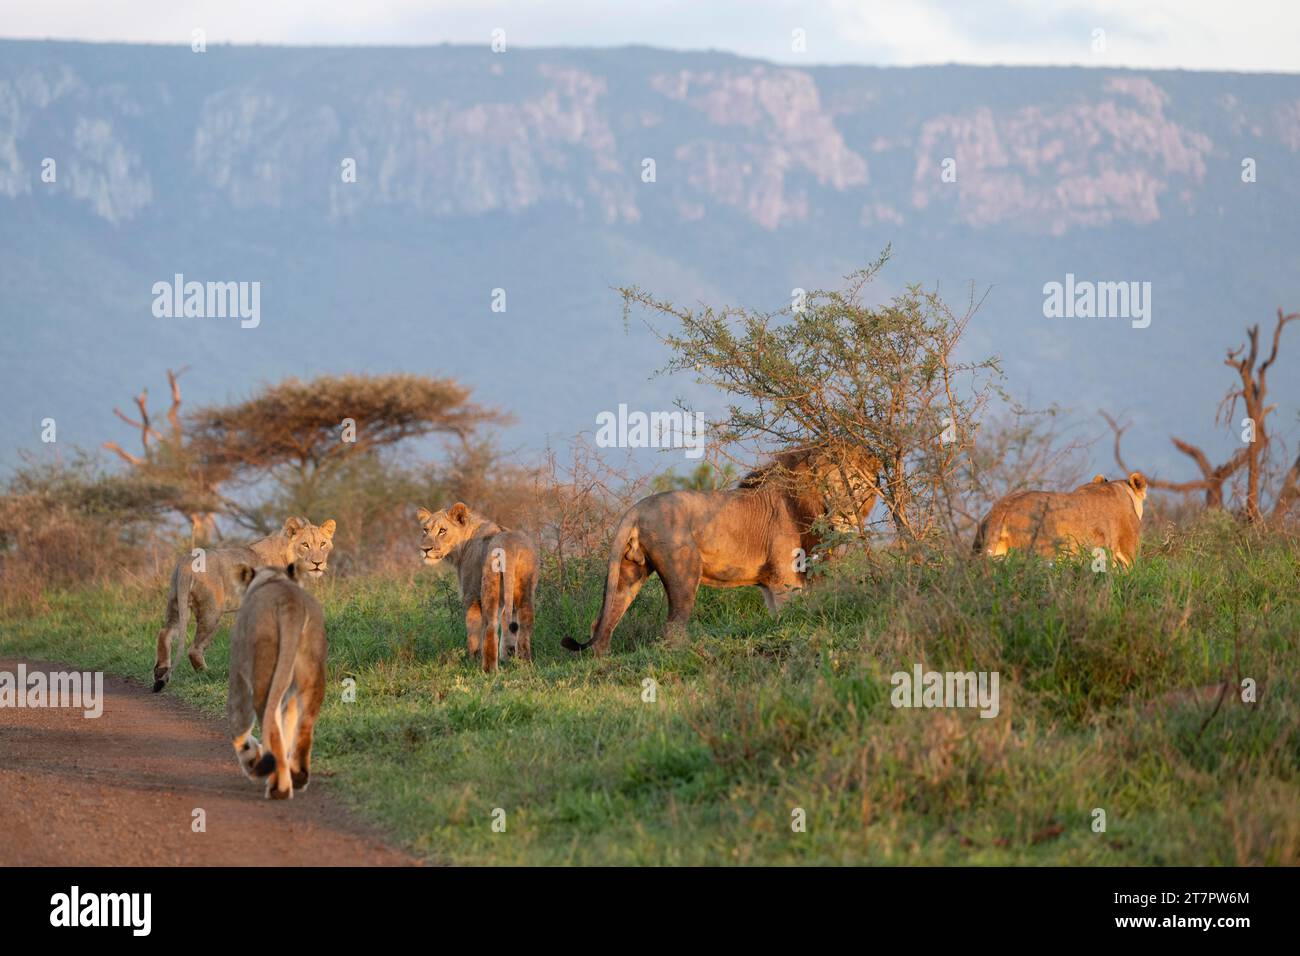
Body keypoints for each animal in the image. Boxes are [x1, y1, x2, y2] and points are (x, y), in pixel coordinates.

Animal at [152, 516, 336, 692]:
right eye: (305, 545)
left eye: (323, 544)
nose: (318, 563)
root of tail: (186, 562)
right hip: (212, 611)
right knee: (194, 649)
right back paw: (208, 675)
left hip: (176, 603)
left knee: (165, 633)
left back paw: (160, 672)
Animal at [226, 562, 327, 800]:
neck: (272, 577)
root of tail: (289, 602)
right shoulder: (289, 698)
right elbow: (287, 728)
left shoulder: (238, 678)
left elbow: (238, 728)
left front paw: (252, 759)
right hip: (311, 671)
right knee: (305, 723)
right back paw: (298, 776)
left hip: (263, 671)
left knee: (271, 727)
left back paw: (278, 787)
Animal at [417, 503, 539, 672]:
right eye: (425, 530)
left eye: (442, 530)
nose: (425, 550)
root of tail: (509, 544)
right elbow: (507, 629)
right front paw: (507, 658)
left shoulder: (471, 594)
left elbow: (474, 631)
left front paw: (473, 660)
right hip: (524, 588)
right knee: (524, 625)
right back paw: (525, 665)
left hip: (489, 586)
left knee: (490, 628)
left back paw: (489, 670)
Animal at [561, 445, 881, 656]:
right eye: (830, 485)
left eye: (856, 485)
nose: (845, 516)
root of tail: (636, 509)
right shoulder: (784, 579)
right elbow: (793, 615)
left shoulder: (771, 583)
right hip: (684, 574)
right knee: (672, 628)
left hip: (629, 572)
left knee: (602, 623)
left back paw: (602, 663)